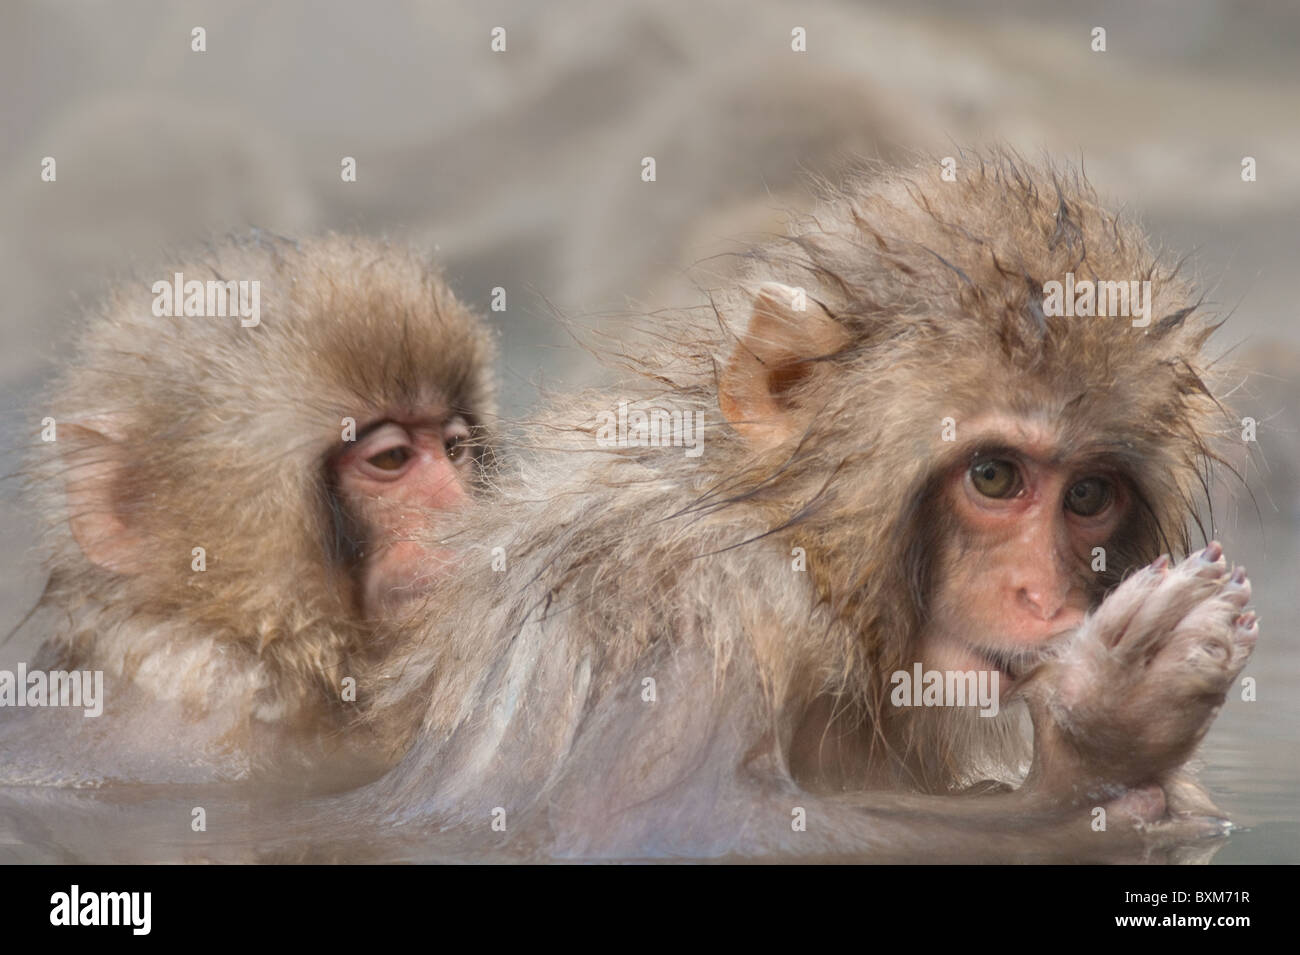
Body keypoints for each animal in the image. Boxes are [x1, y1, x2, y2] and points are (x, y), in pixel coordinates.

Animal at [355, 151, 1257, 861]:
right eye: (995, 476)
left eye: (1090, 495)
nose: (1047, 595)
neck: (818, 569)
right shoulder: (684, 603)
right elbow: (658, 822)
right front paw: (1102, 746)